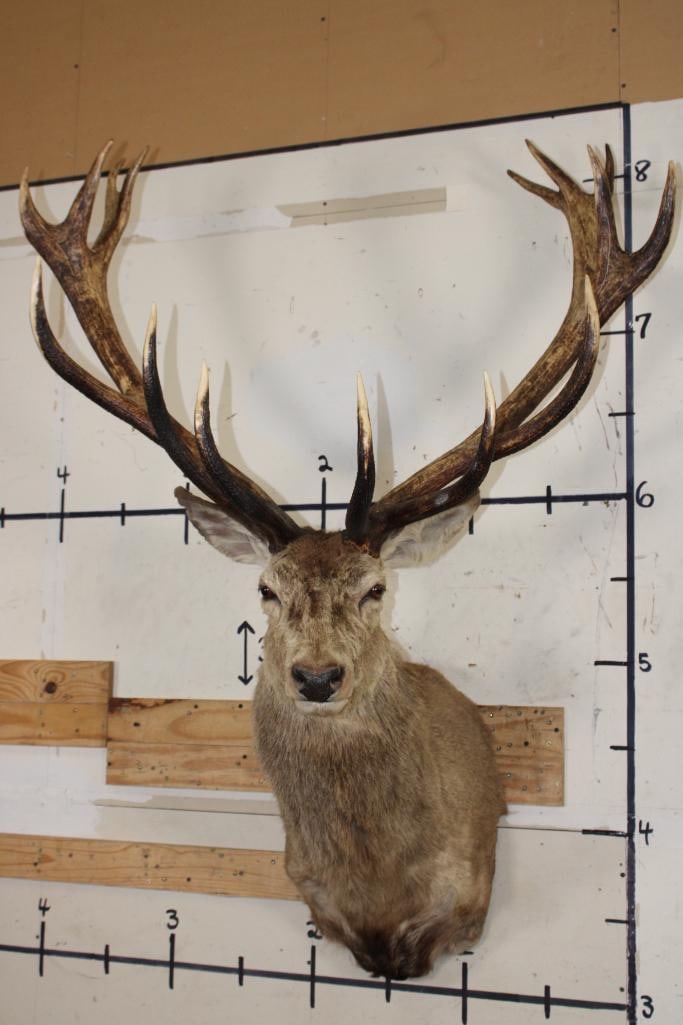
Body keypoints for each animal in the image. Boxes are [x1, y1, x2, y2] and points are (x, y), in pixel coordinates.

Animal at [19, 141, 675, 979]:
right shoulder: (315, 899)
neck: (378, 885)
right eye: (265, 588)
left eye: (374, 589)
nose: (317, 676)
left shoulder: (463, 898)